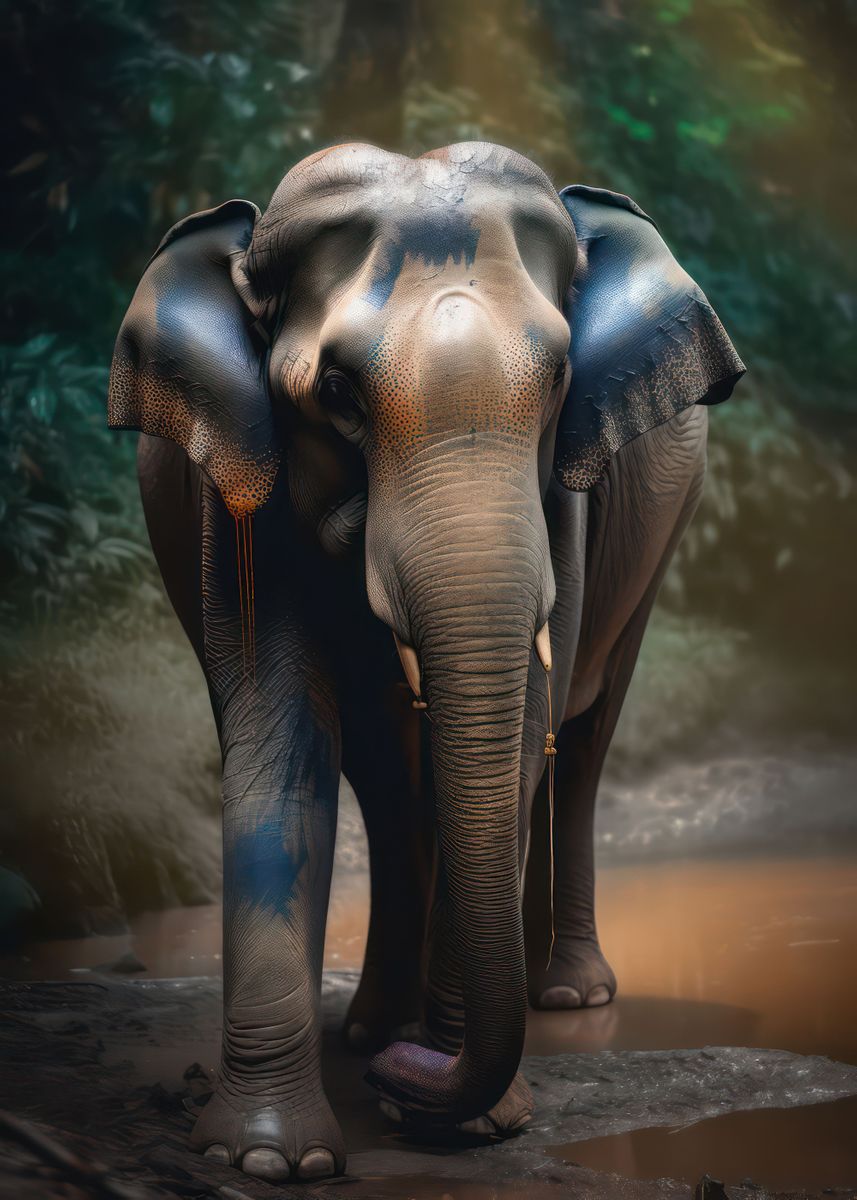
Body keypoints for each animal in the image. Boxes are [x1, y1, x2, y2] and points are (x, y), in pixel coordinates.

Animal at [108, 142, 744, 1182]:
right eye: (334, 395)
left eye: (559, 380)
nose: (402, 1080)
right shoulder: (235, 494)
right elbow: (280, 742)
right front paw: (270, 1159)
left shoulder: (562, 505)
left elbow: (522, 735)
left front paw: (465, 1122)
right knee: (389, 779)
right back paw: (375, 1031)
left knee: (580, 742)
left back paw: (559, 999)